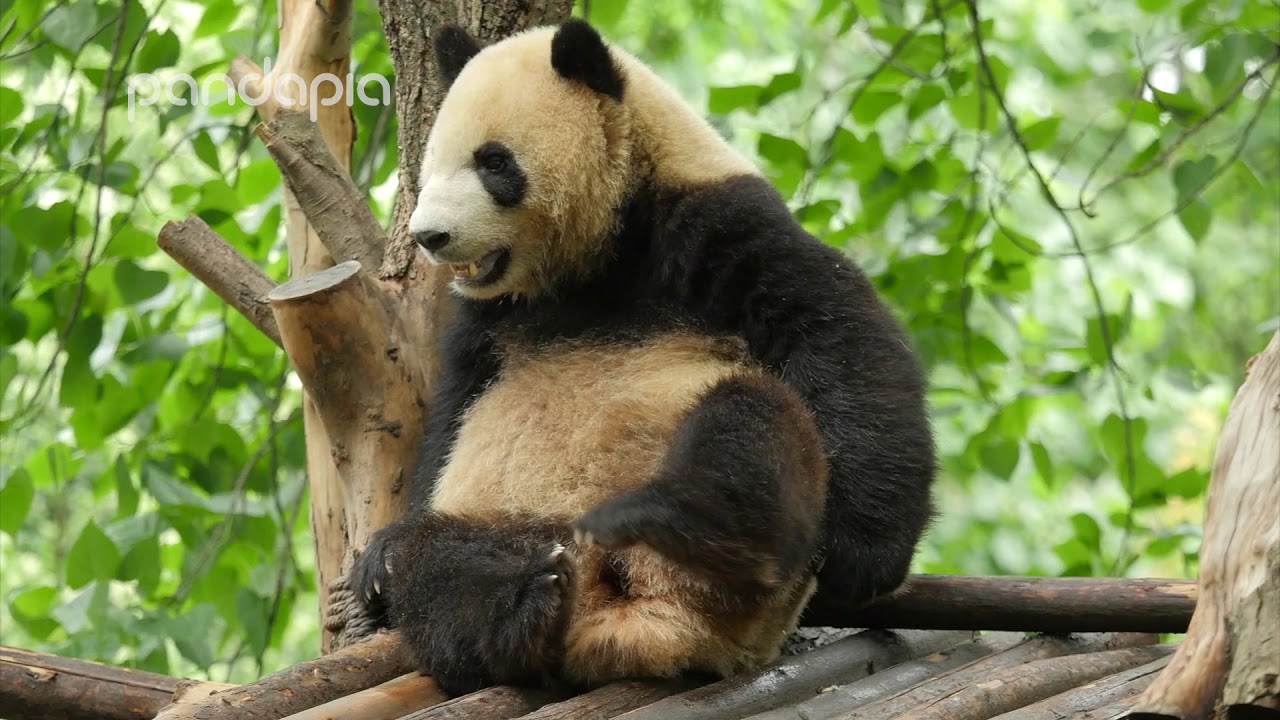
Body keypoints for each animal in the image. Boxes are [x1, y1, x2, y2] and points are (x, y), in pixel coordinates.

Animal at [348, 19, 937, 696]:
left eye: (494, 162)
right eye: (432, 164)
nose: (431, 237)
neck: (593, 254)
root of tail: (636, 619)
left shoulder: (714, 221)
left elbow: (834, 331)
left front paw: (864, 556)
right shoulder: (487, 319)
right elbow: (455, 409)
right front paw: (376, 559)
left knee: (750, 422)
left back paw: (678, 519)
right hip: (511, 521)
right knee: (438, 568)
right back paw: (525, 612)